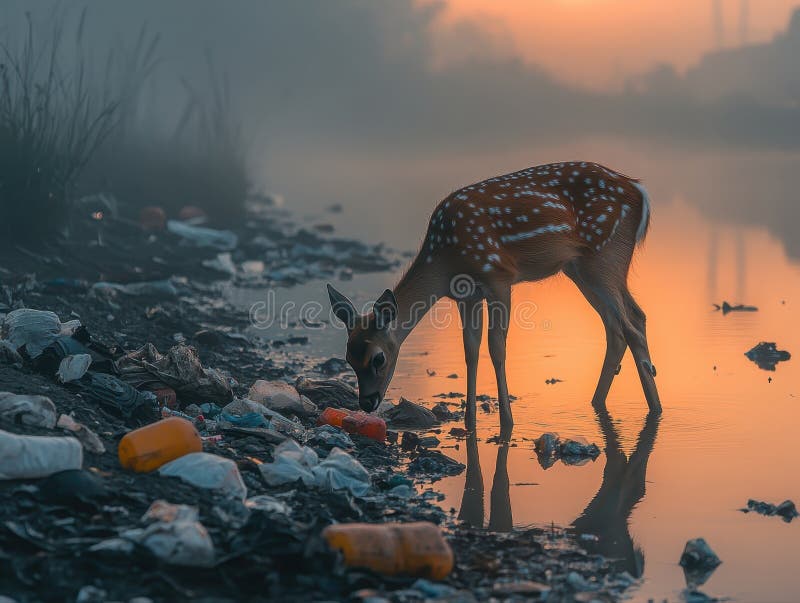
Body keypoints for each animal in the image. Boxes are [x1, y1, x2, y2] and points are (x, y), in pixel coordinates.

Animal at [327, 161, 661, 433]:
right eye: (348, 357)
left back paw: (655, 409)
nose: (367, 403)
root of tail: (640, 191)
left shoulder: (499, 276)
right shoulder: (466, 295)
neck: (445, 260)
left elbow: (496, 346)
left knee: (631, 325)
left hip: (603, 256)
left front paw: (507, 422)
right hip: (579, 267)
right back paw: (599, 402)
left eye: (378, 358)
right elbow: (471, 349)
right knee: (626, 321)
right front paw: (469, 421)